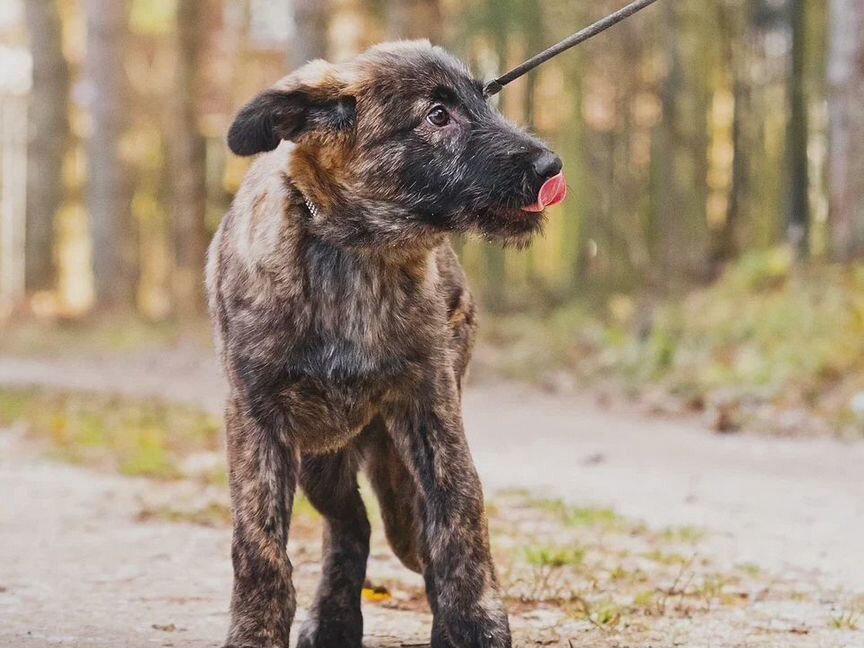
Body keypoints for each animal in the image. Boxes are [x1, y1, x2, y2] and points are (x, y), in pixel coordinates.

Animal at [204, 40, 568, 648]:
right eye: (437, 116)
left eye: (484, 97)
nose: (550, 167)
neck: (358, 253)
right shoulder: (256, 420)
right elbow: (259, 548)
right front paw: (255, 632)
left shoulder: (431, 406)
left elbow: (459, 513)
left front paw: (476, 625)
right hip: (320, 455)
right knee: (351, 524)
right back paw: (333, 619)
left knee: (405, 529)